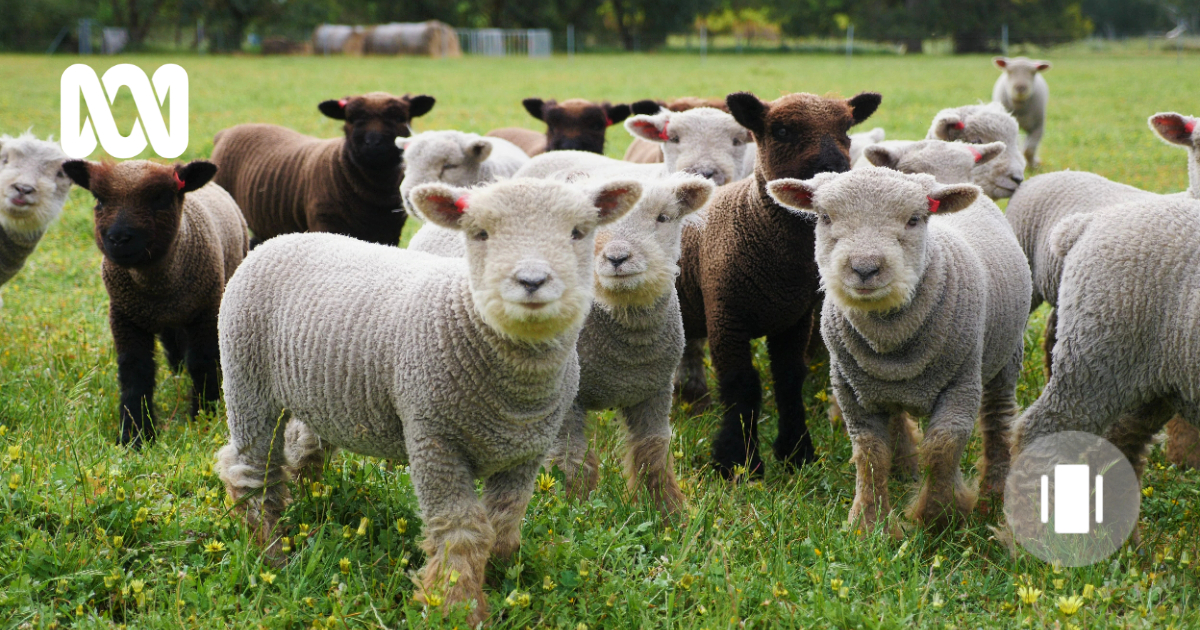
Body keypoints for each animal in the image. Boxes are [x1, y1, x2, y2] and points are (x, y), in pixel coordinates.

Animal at [62, 159, 249, 448]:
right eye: (99, 199)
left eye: (160, 198)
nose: (118, 238)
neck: (156, 286)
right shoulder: (125, 316)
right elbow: (135, 371)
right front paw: (135, 435)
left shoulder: (204, 311)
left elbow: (202, 361)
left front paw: (203, 415)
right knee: (173, 342)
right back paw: (176, 372)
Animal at [211, 92, 435, 247]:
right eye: (351, 119)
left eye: (400, 118)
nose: (373, 144)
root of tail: (226, 132)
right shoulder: (325, 223)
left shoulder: (390, 233)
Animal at [214, 177, 641, 625]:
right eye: (480, 233)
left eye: (578, 232)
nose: (531, 281)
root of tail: (281, 238)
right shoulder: (434, 439)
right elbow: (461, 530)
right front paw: (455, 605)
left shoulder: (526, 452)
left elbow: (503, 524)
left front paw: (500, 580)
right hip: (247, 383)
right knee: (251, 471)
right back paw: (268, 552)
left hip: (320, 396)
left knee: (302, 445)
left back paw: (311, 502)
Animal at [676, 90, 881, 476]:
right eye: (781, 130)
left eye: (847, 129)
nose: (833, 172)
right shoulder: (726, 314)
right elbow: (741, 384)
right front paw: (736, 462)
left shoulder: (794, 318)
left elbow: (789, 380)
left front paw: (796, 453)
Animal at [768, 168, 1030, 532]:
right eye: (825, 217)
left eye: (914, 219)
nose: (864, 268)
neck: (891, 340)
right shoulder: (852, 390)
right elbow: (870, 453)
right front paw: (869, 522)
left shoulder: (962, 382)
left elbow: (943, 447)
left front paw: (937, 517)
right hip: (880, 385)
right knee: (896, 419)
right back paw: (905, 469)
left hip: (1005, 357)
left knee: (998, 417)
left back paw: (993, 491)